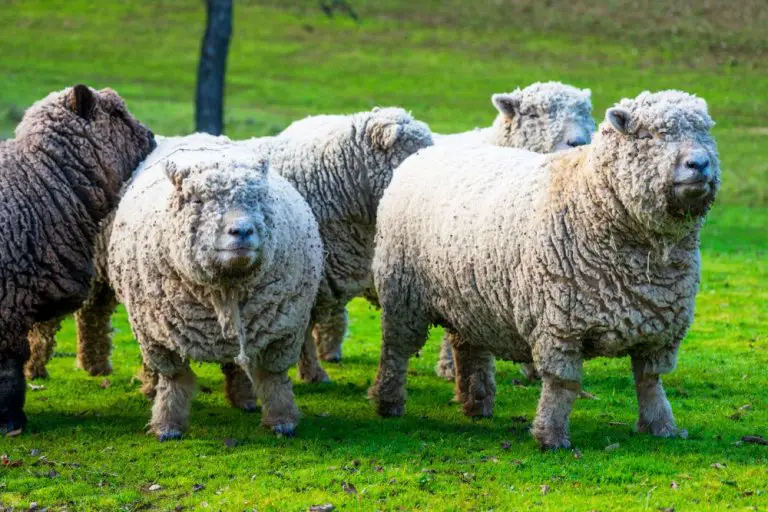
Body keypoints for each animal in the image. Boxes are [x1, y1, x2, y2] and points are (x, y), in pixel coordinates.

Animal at [0, 85, 155, 433]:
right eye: (116, 113)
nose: (152, 136)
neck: (39, 180)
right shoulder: (8, 304)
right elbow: (9, 366)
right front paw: (11, 420)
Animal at [105, 135, 323, 439]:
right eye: (198, 200)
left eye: (257, 199)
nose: (242, 231)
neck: (226, 286)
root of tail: (201, 136)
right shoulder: (158, 337)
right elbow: (174, 380)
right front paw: (167, 424)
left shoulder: (285, 332)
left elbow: (273, 377)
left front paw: (282, 420)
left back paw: (244, 398)